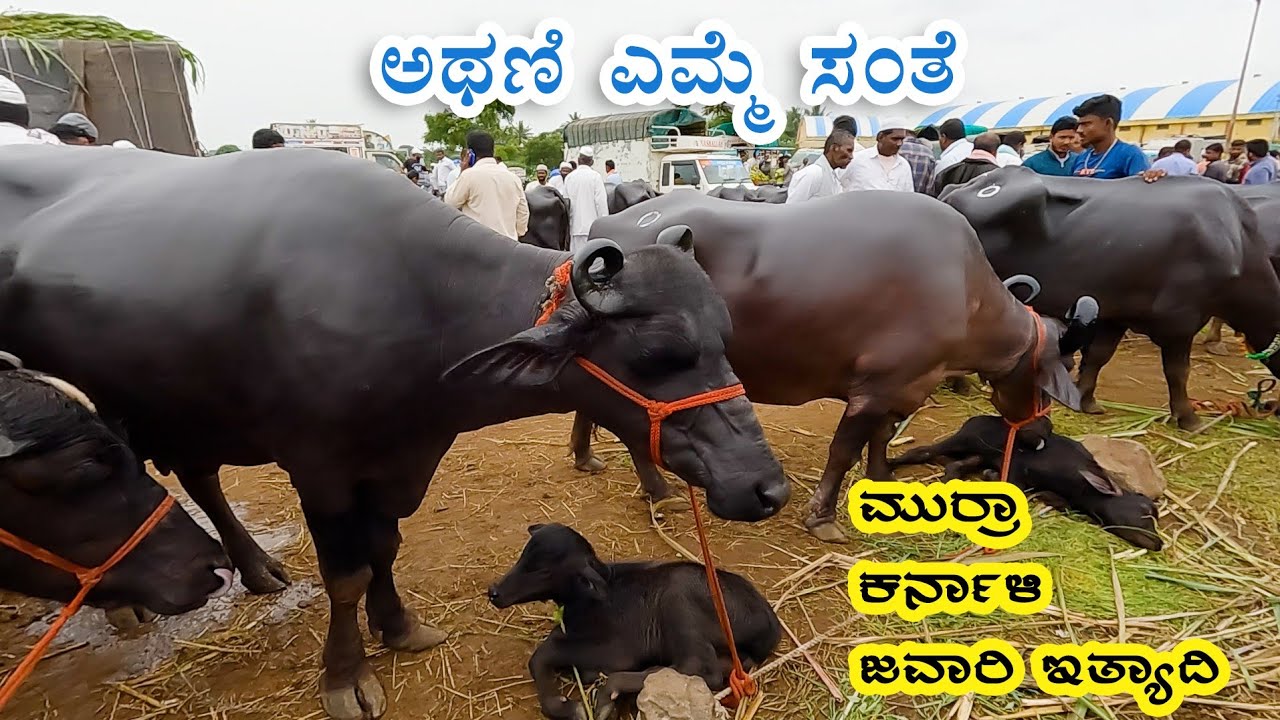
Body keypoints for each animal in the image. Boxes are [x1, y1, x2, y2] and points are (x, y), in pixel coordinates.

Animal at [0, 145, 789, 720]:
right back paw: (132, 600)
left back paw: (252, 569)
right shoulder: (318, 466)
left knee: (200, 476)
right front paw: (345, 674)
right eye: (658, 354)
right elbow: (346, 572)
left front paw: (400, 626)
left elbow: (384, 548)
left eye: (723, 336)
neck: (418, 302)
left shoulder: (400, 456)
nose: (767, 486)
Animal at [570, 190, 1097, 543]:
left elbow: (881, 439)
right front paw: (822, 517)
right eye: (1048, 382)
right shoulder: (874, 389)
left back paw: (584, 455)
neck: (964, 292)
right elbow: (843, 452)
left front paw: (884, 479)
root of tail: (608, 224)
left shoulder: (902, 387)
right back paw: (658, 489)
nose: (1039, 433)